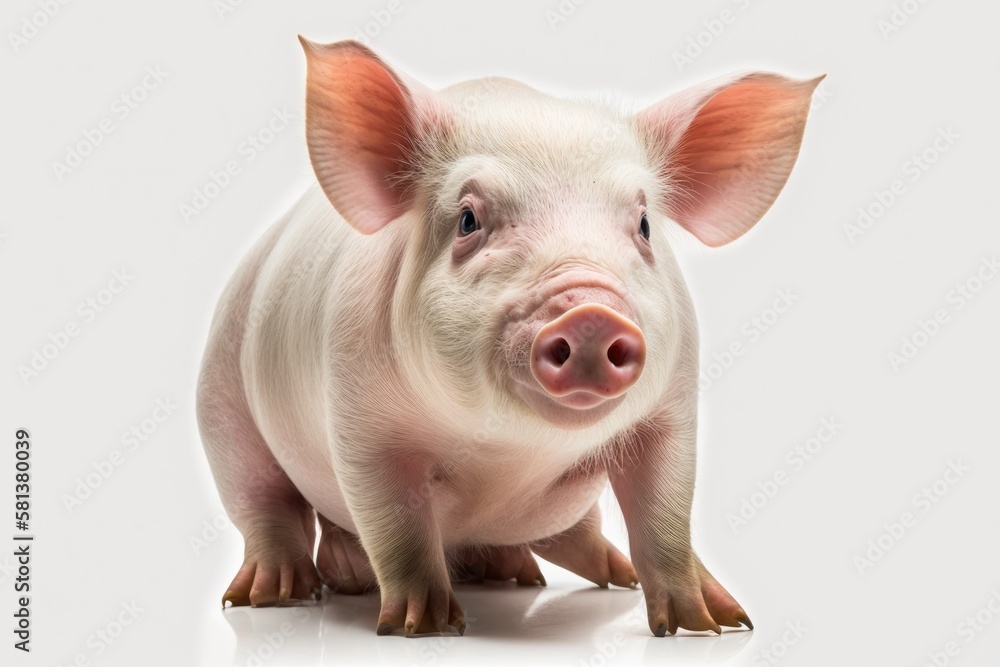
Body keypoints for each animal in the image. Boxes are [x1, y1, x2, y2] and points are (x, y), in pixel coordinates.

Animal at [196, 36, 822, 637]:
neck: (510, 459)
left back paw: (579, 576)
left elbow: (665, 511)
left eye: (644, 225)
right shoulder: (358, 415)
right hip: (220, 399)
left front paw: (714, 627)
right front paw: (422, 628)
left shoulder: (673, 407)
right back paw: (275, 594)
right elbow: (395, 526)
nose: (589, 312)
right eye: (469, 219)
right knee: (265, 504)